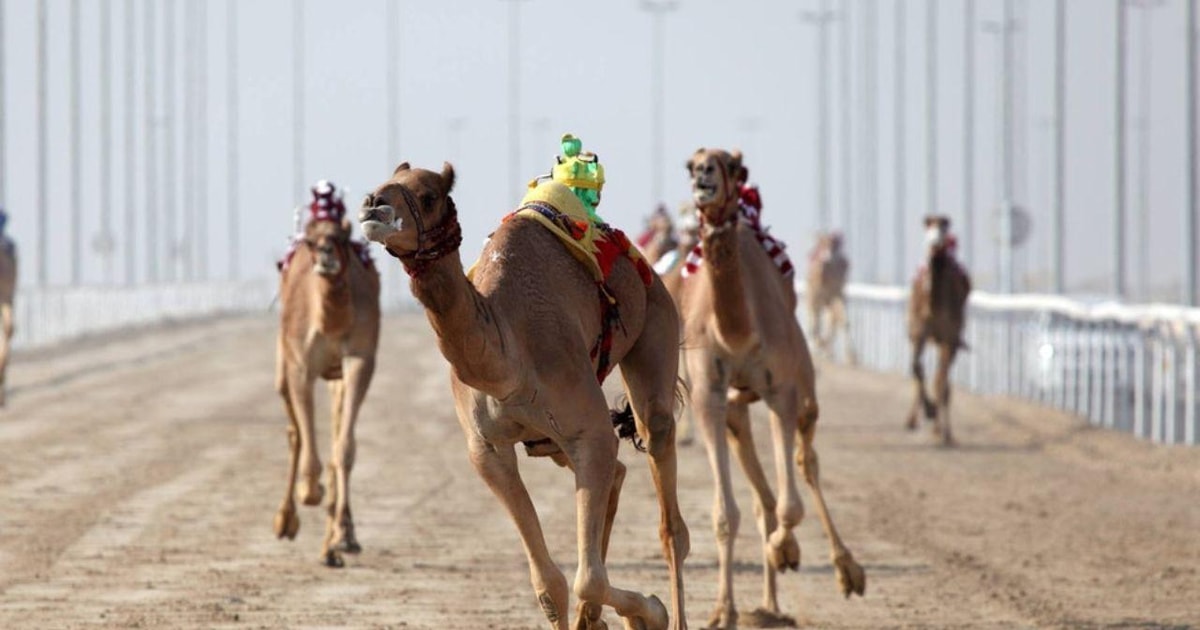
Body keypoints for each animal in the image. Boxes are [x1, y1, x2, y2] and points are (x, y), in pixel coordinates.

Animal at [274, 182, 381, 567]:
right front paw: (309, 490)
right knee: (294, 432)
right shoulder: (299, 363)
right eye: (309, 239)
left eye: (342, 235)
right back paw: (286, 520)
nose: (325, 254)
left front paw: (343, 538)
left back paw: (334, 542)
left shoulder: (360, 358)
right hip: (282, 363)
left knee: (335, 435)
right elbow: (307, 442)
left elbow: (344, 448)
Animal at [359, 163, 689, 630]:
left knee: (669, 513)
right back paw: (593, 619)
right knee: (618, 474)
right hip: (550, 441)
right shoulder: (487, 450)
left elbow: (587, 579)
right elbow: (549, 584)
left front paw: (652, 611)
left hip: (656, 318)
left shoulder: (588, 430)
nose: (374, 205)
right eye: (383, 182)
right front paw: (611, 613)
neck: (506, 361)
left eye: (427, 195)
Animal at [805, 232, 855, 363]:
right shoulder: (813, 296)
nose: (826, 259)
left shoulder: (837, 293)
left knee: (834, 321)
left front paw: (851, 357)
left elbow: (844, 321)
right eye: (822, 244)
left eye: (834, 245)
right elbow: (814, 325)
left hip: (832, 299)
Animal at [906, 215, 971, 446]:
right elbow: (916, 367)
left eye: (944, 227)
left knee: (942, 380)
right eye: (927, 226)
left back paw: (943, 431)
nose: (935, 245)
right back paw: (914, 420)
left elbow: (941, 382)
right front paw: (928, 410)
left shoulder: (949, 338)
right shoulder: (919, 332)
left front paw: (941, 427)